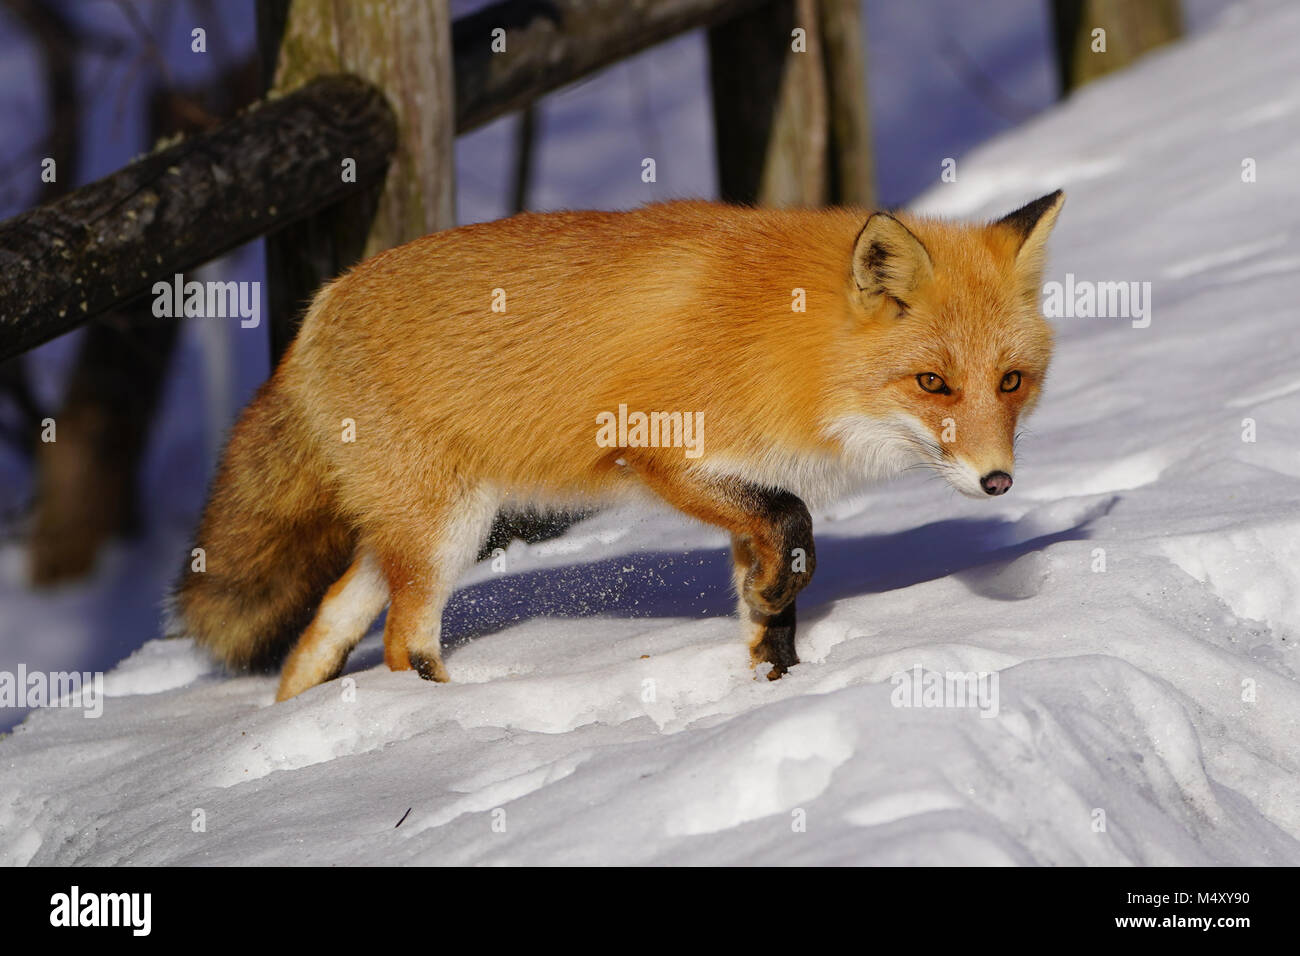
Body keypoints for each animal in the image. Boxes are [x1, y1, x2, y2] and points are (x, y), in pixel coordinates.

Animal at [169, 191, 1065, 701]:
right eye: (933, 383)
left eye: (1012, 382)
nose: (998, 481)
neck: (793, 346)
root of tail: (314, 312)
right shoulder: (657, 452)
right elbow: (793, 522)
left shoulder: (745, 484)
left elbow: (772, 591)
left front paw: (773, 676)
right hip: (445, 531)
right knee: (400, 643)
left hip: (416, 531)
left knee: (326, 623)